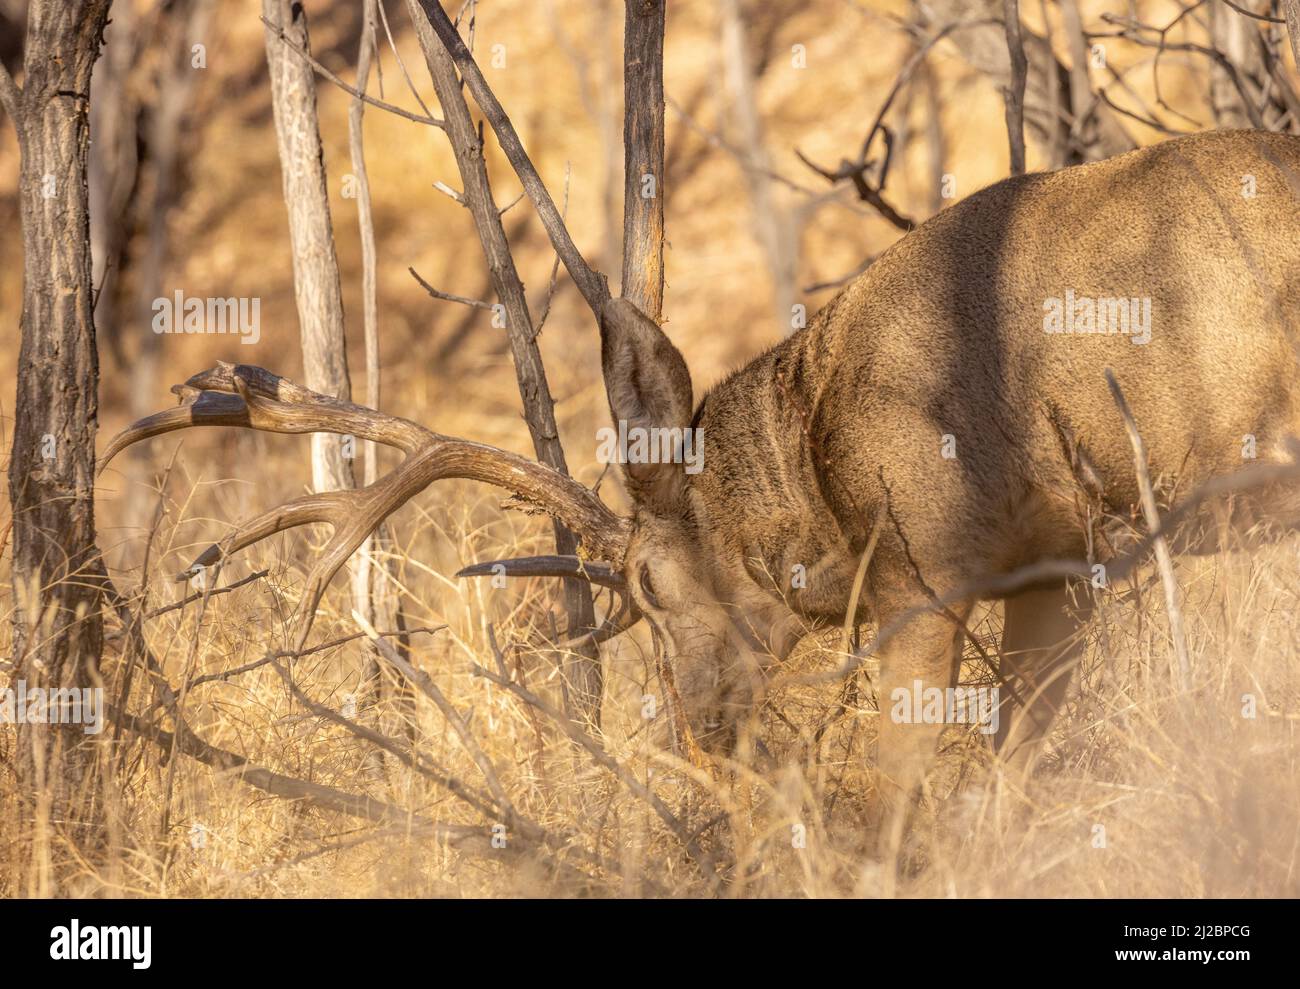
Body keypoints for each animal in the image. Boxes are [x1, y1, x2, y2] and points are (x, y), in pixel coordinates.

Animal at [101, 129, 1300, 856]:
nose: (700, 730)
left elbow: (904, 783)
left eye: (646, 583)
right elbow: (1022, 760)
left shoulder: (927, 562)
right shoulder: (1060, 564)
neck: (815, 453)